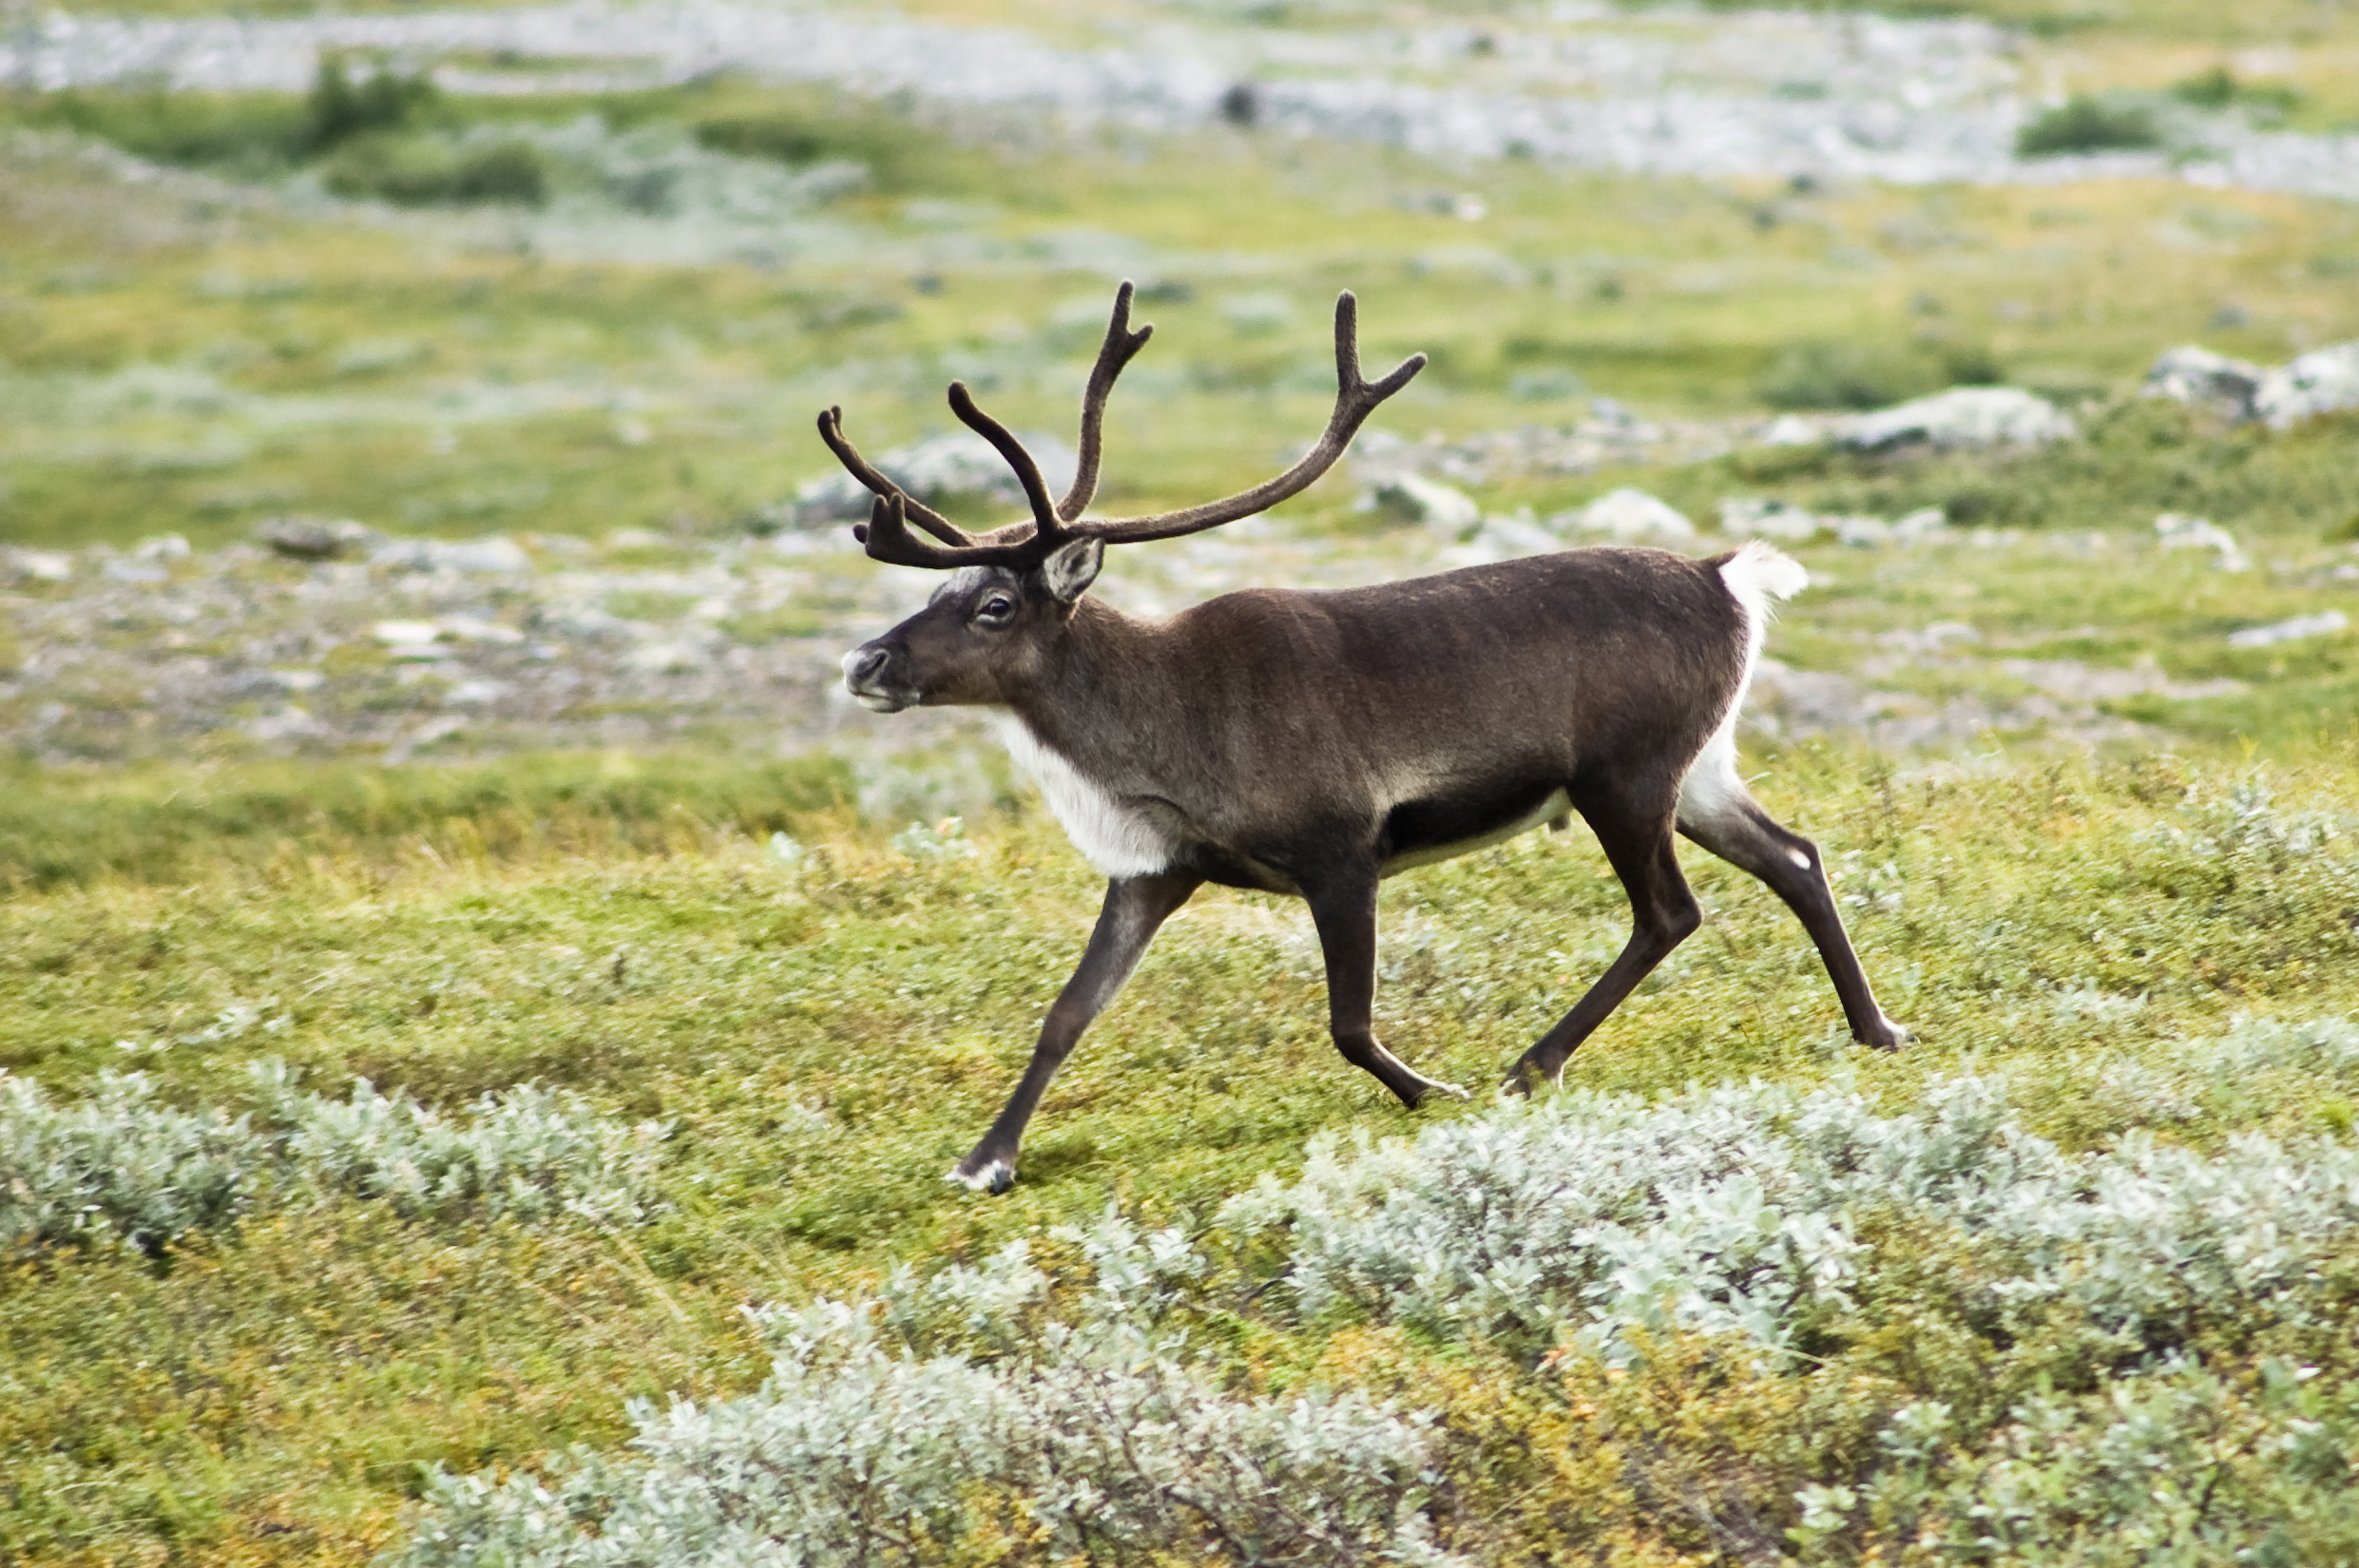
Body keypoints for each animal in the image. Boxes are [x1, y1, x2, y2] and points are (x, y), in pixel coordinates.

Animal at [829, 283, 1907, 1193]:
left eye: (995, 606)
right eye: (943, 591)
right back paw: (1875, 1029)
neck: (1156, 732)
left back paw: (1530, 1066)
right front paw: (985, 1159)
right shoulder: (1156, 870)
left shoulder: (1341, 849)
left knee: (1669, 913)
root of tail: (1727, 578)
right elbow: (1064, 1013)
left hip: (1625, 776)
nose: (865, 662)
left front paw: (1437, 1092)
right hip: (1698, 771)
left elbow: (1347, 1023)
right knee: (1795, 857)